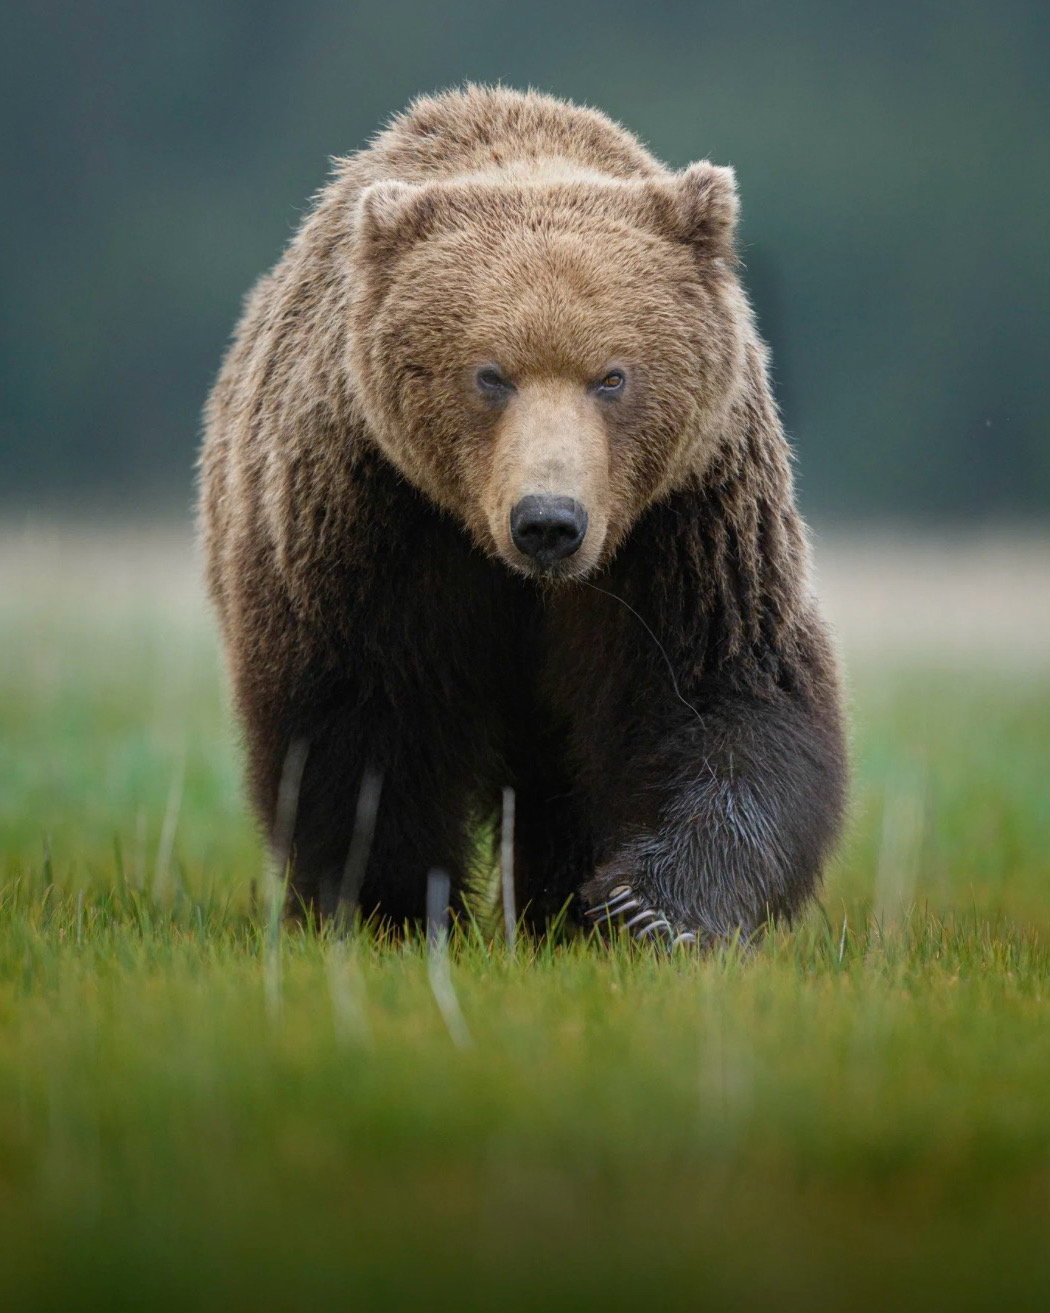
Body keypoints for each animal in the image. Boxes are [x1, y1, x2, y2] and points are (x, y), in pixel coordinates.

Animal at [199, 85, 848, 945]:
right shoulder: (376, 519)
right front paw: (390, 906)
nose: (548, 521)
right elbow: (362, 720)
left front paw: (648, 908)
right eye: (490, 375)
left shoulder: (683, 524)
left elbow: (730, 690)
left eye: (613, 376)